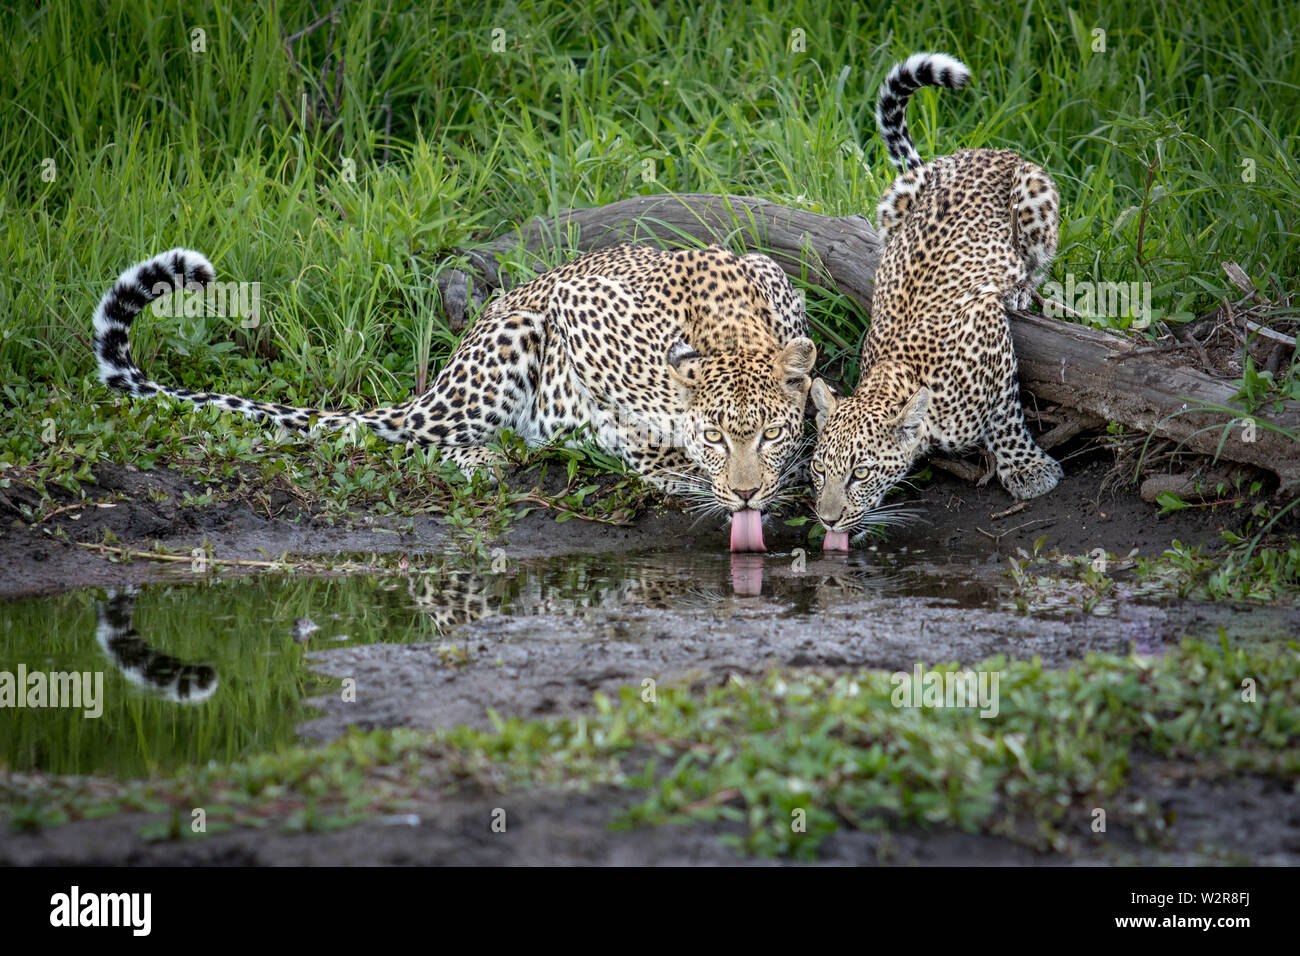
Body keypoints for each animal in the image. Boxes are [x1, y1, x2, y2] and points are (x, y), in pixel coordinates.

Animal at [93, 243, 816, 551]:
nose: (747, 495)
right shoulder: (582, 306)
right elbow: (643, 415)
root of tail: (444, 372)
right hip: (511, 339)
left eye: (771, 435)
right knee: (416, 443)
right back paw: (484, 460)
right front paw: (676, 467)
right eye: (717, 437)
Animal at [809, 52, 1064, 550]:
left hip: (1034, 193)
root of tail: (974, 152)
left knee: (1037, 260)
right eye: (818, 470)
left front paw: (1028, 470)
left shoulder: (987, 331)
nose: (827, 520)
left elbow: (1005, 415)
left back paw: (1024, 288)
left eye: (859, 473)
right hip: (896, 196)